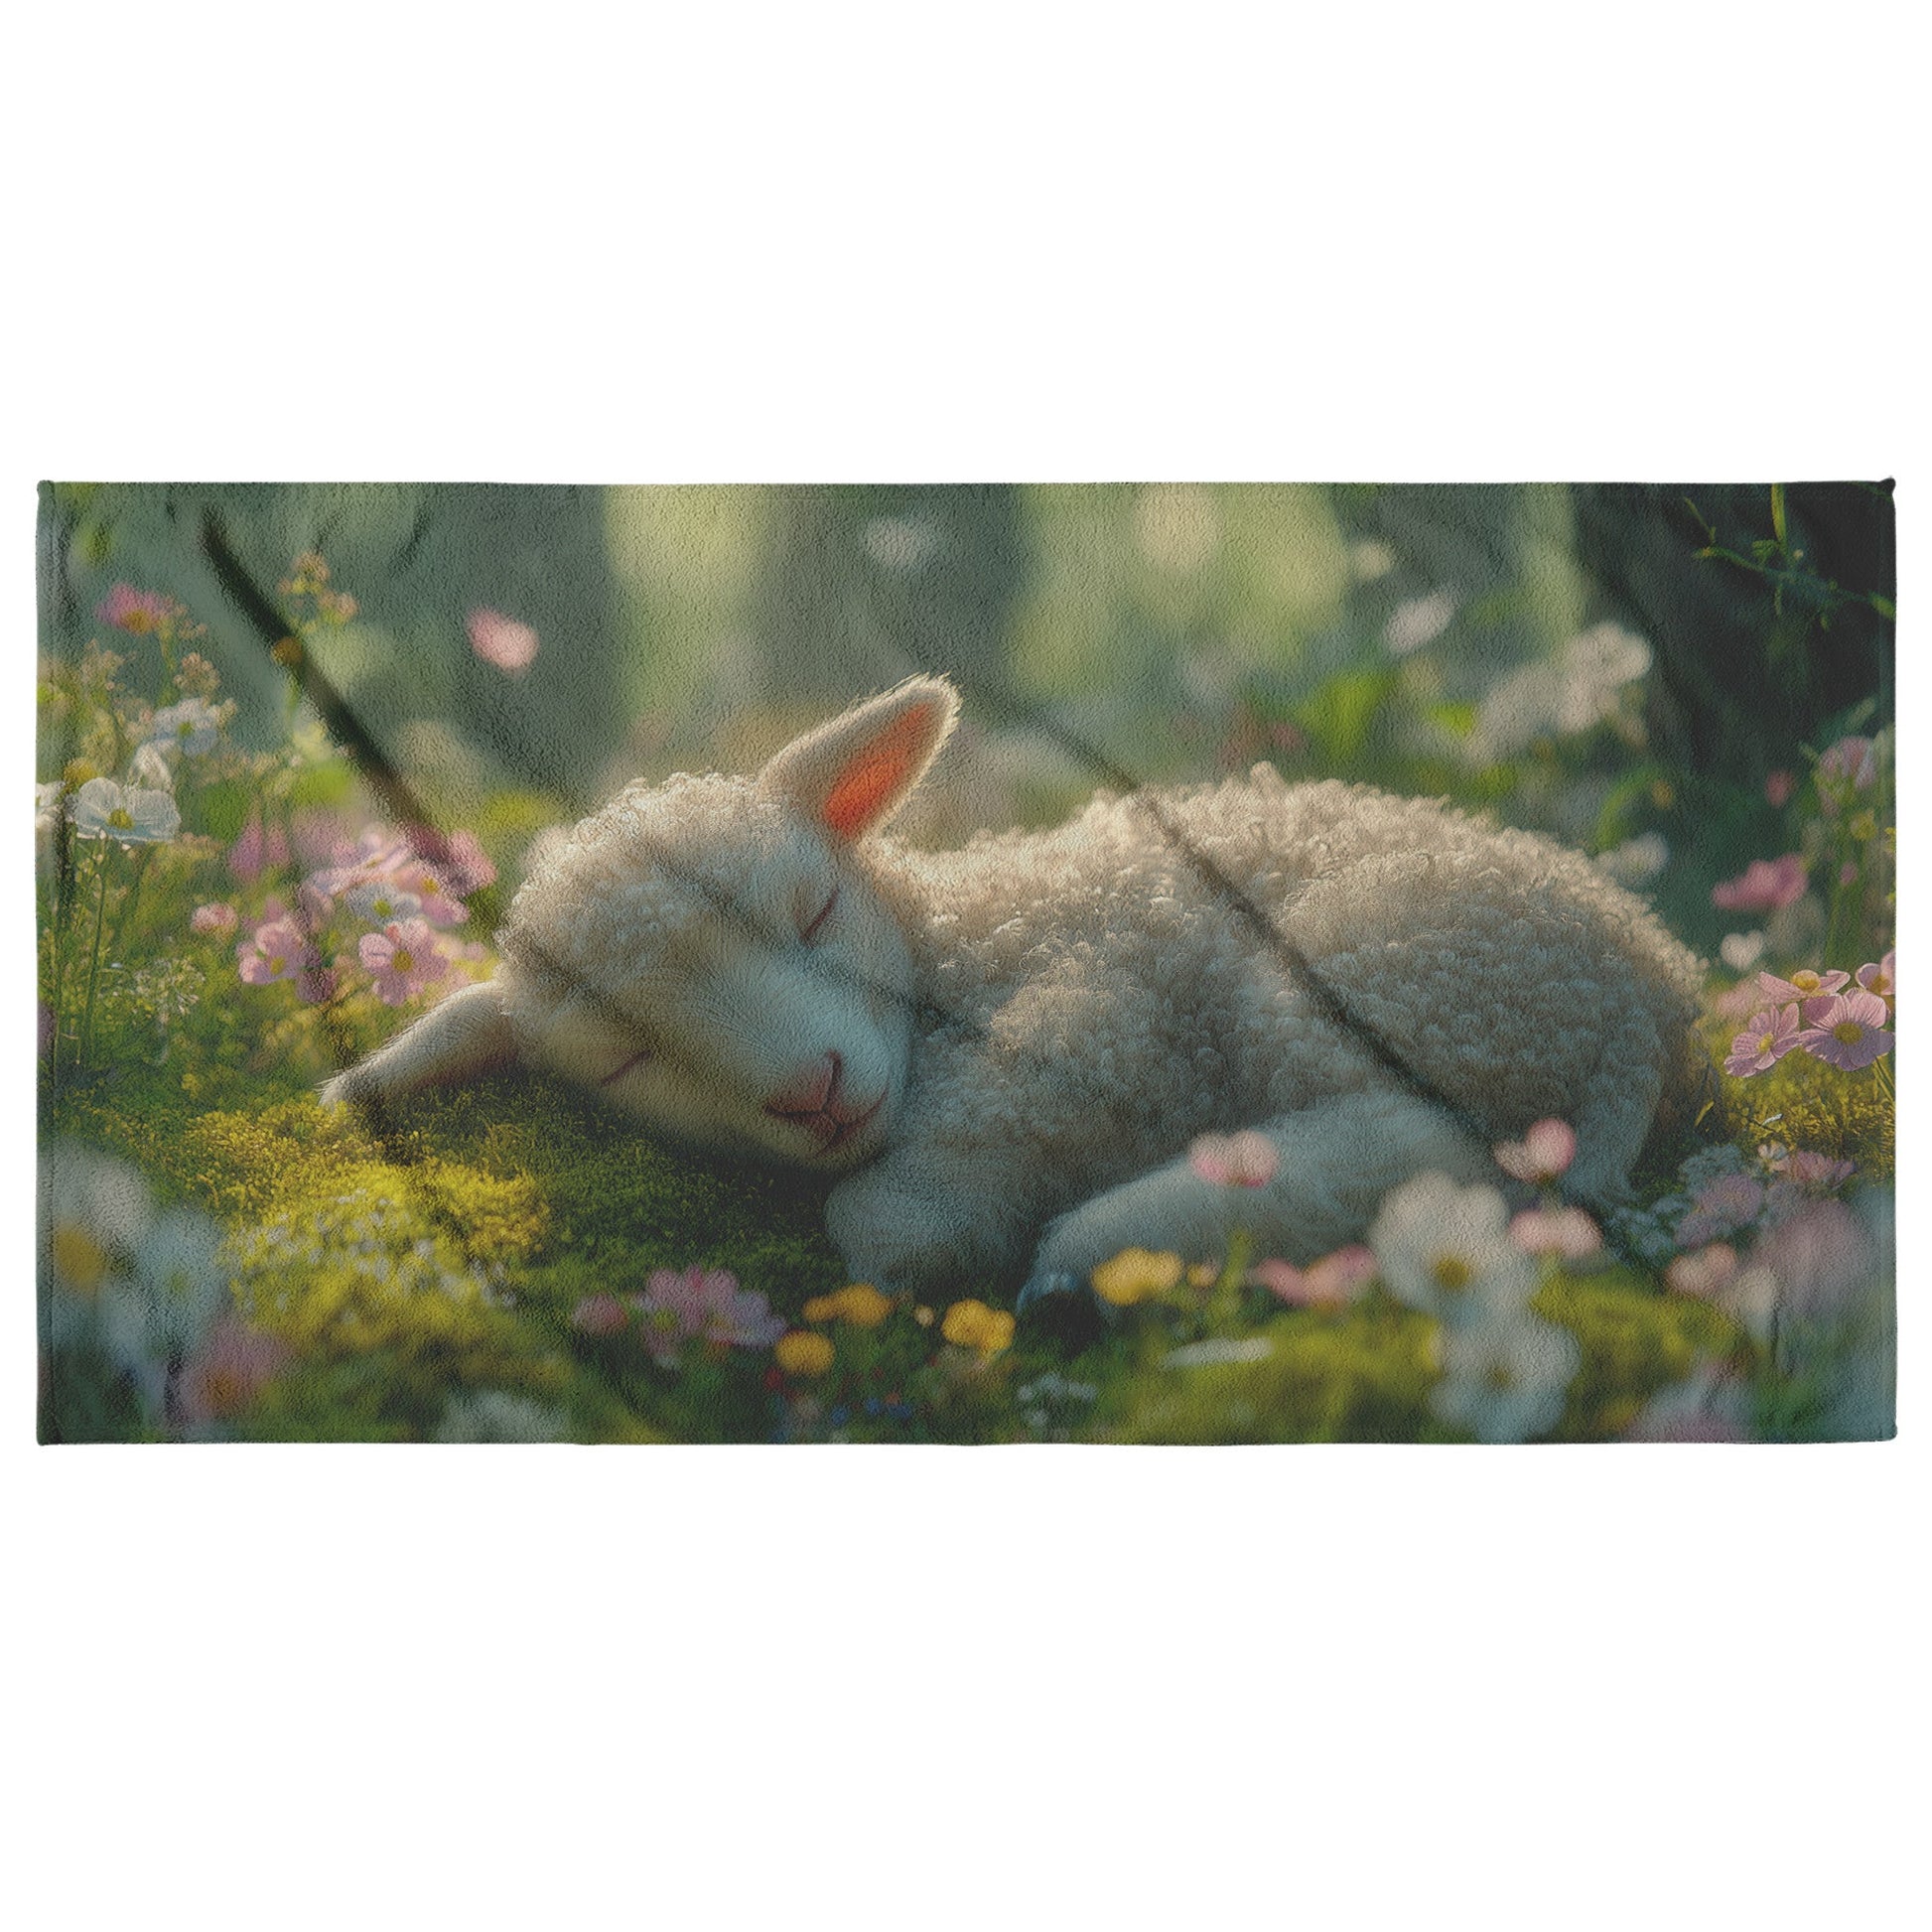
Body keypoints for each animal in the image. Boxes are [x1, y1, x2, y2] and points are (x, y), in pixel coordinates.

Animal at [323, 674, 1705, 1314]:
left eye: (810, 912)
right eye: (623, 1058)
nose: (811, 1092)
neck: (958, 934)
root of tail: (1653, 982)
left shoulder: (1097, 1026)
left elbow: (887, 1203)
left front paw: (908, 1251)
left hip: (1387, 969)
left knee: (1437, 1145)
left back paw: (1096, 1254)